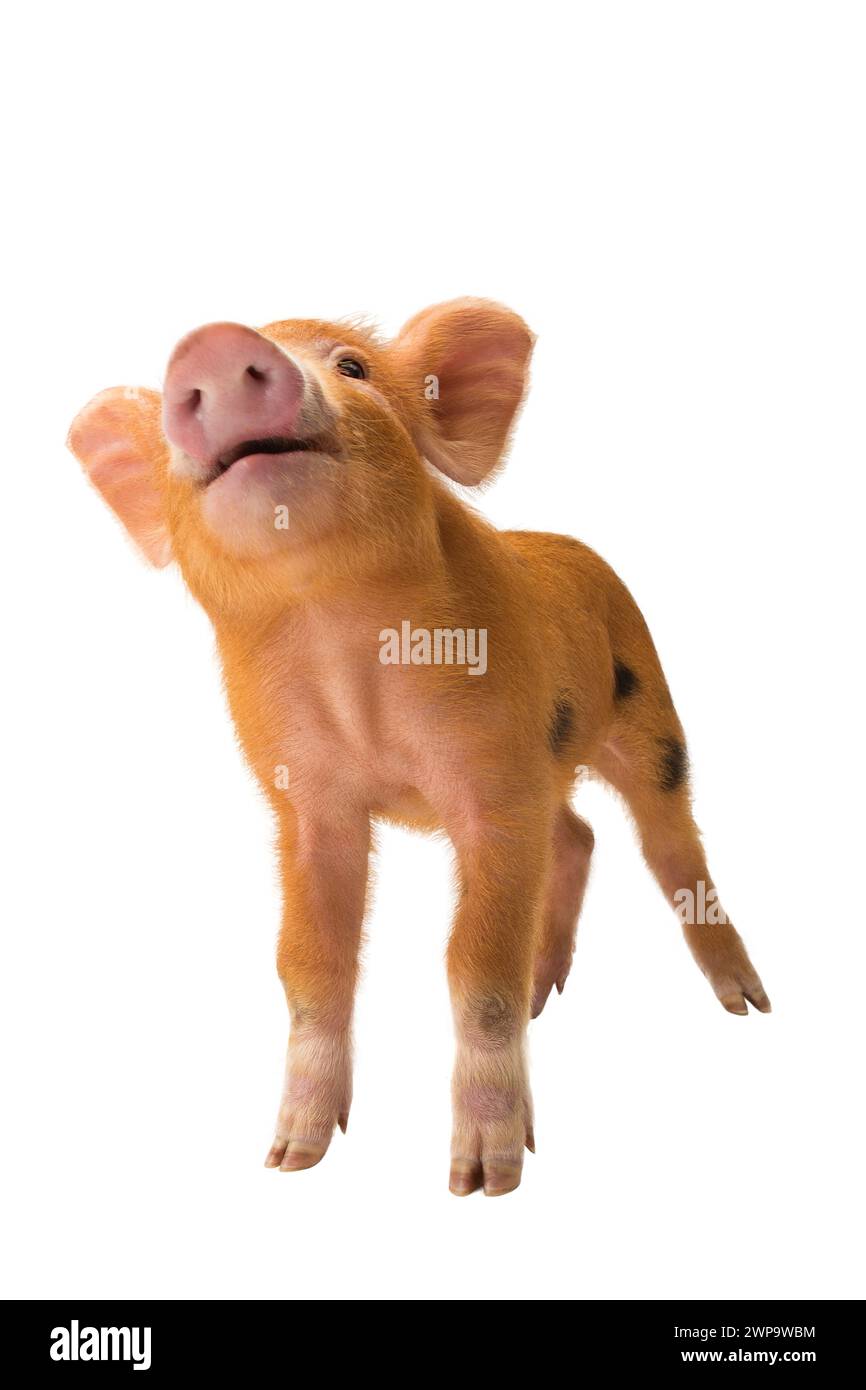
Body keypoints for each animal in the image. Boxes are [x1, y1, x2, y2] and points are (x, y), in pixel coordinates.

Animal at [68, 300, 770, 1197]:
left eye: (353, 367)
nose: (213, 344)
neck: (340, 640)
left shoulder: (494, 780)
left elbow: (477, 969)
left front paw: (483, 1180)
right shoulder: (308, 803)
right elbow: (307, 964)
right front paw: (288, 1157)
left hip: (649, 710)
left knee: (670, 843)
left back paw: (747, 1003)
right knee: (576, 835)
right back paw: (547, 991)